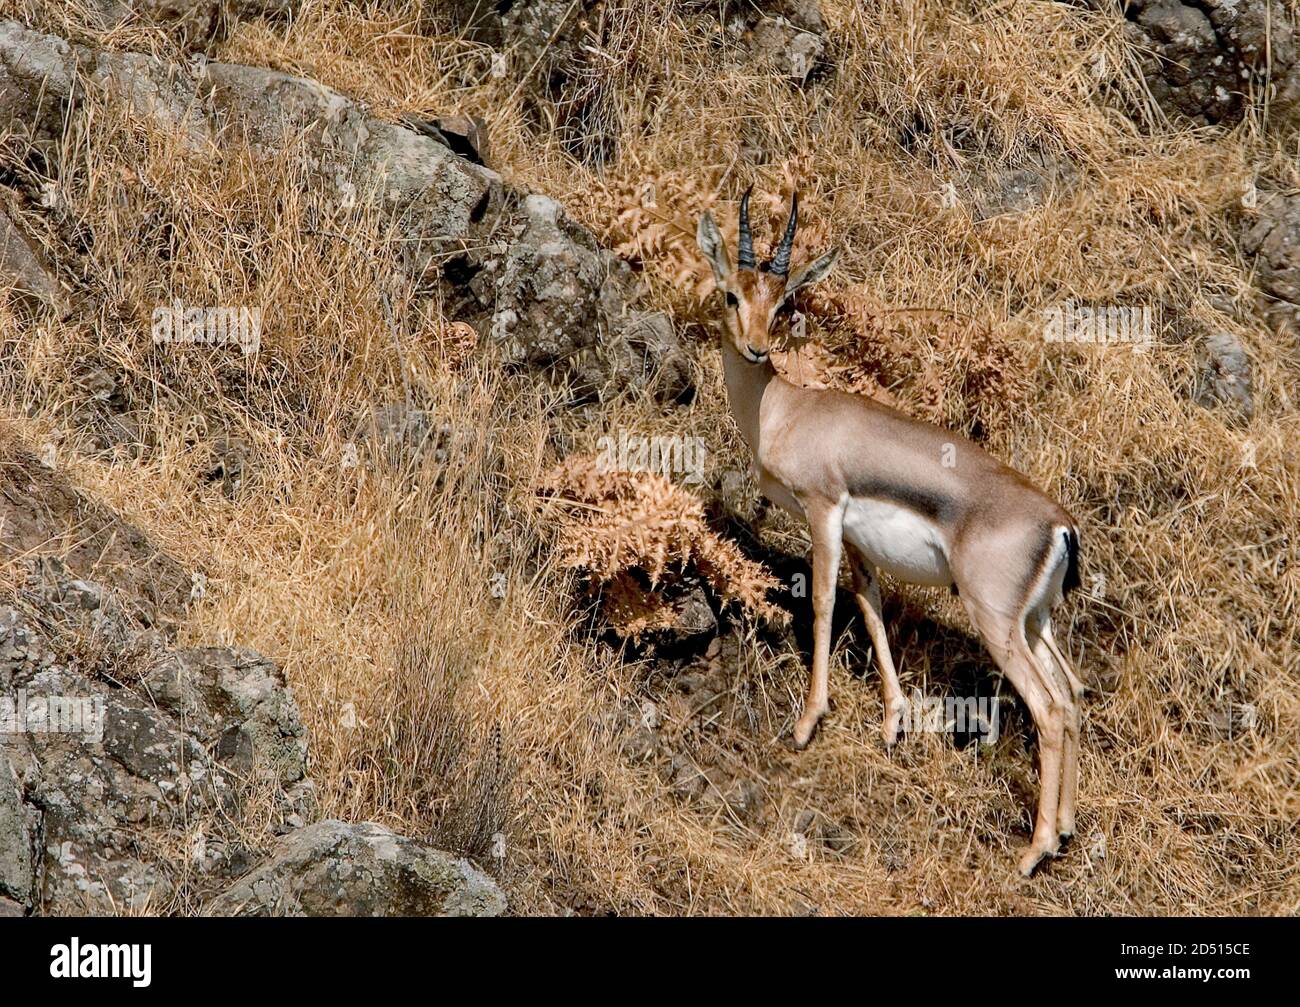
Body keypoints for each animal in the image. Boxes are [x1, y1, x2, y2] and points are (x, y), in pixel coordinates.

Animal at [696, 188, 1084, 875]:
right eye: (732, 295)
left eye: (783, 302)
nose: (757, 348)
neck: (785, 409)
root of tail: (1058, 525)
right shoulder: (857, 541)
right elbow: (869, 603)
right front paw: (894, 720)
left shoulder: (823, 511)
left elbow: (825, 602)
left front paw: (808, 722)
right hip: (1034, 623)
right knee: (1068, 702)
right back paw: (1061, 830)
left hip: (996, 624)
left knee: (1045, 710)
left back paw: (1032, 851)